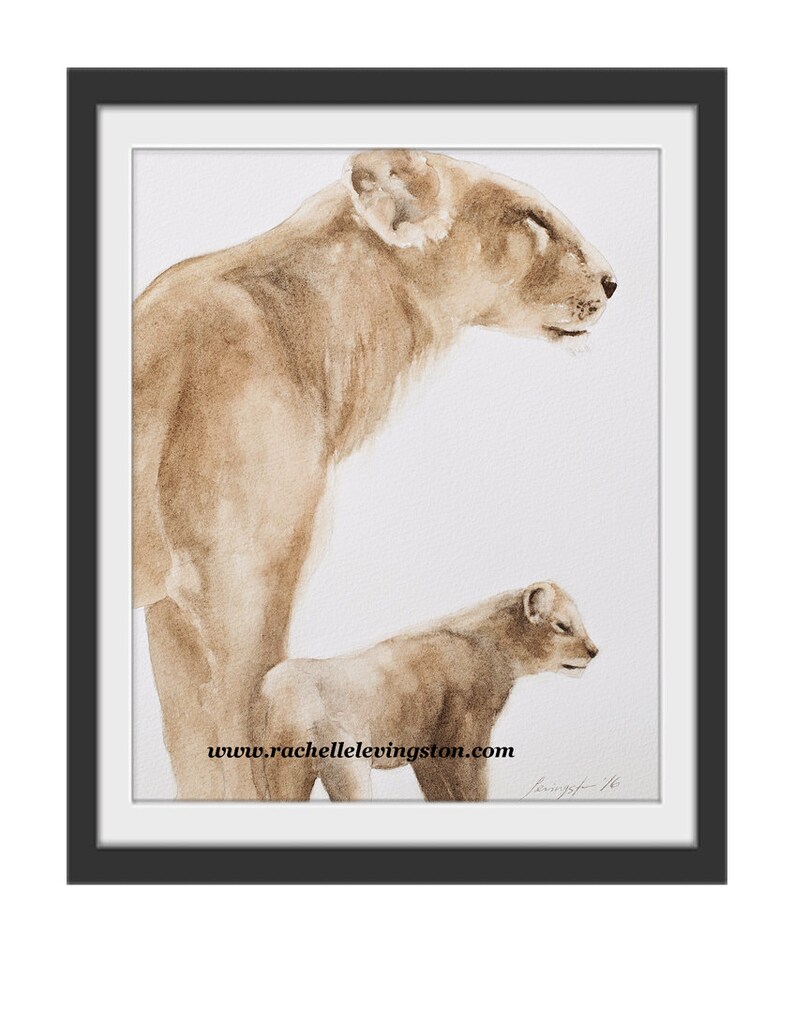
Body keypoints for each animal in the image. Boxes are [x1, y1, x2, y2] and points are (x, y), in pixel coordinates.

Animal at [251, 582, 598, 801]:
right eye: (562, 625)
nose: (594, 651)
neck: (484, 646)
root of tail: (271, 692)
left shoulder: (426, 754)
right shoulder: (466, 737)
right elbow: (473, 790)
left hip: (281, 774)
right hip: (344, 768)